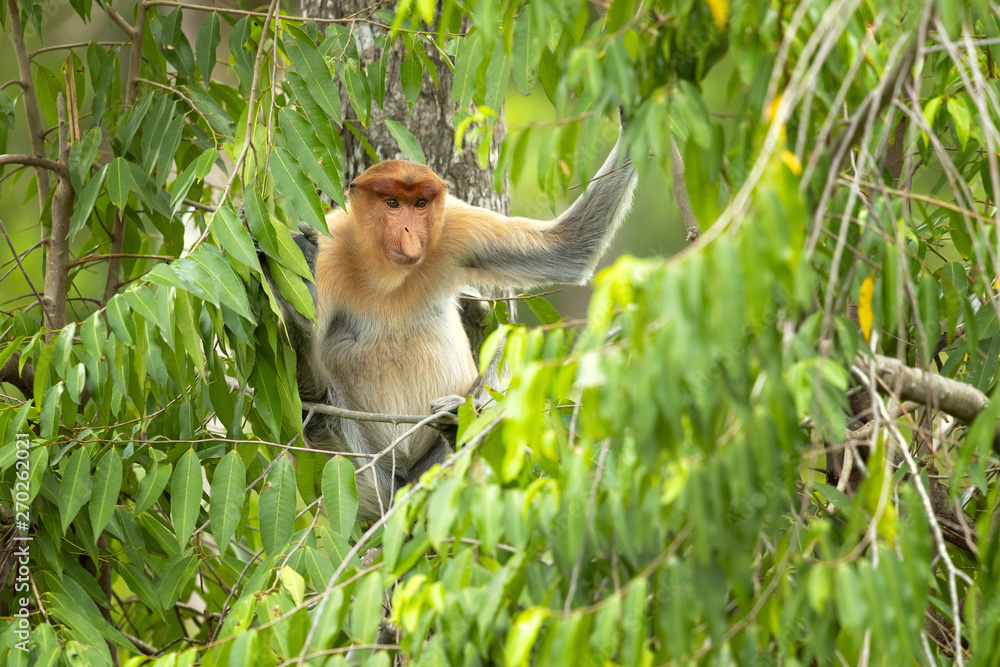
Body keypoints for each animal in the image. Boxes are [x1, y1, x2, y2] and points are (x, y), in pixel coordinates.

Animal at [267, 116, 637, 521]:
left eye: (420, 204)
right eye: (392, 203)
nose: (410, 232)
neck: (385, 271)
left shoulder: (454, 225)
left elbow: (568, 247)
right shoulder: (331, 247)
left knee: (507, 343)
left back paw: (458, 427)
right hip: (354, 482)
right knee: (317, 417)